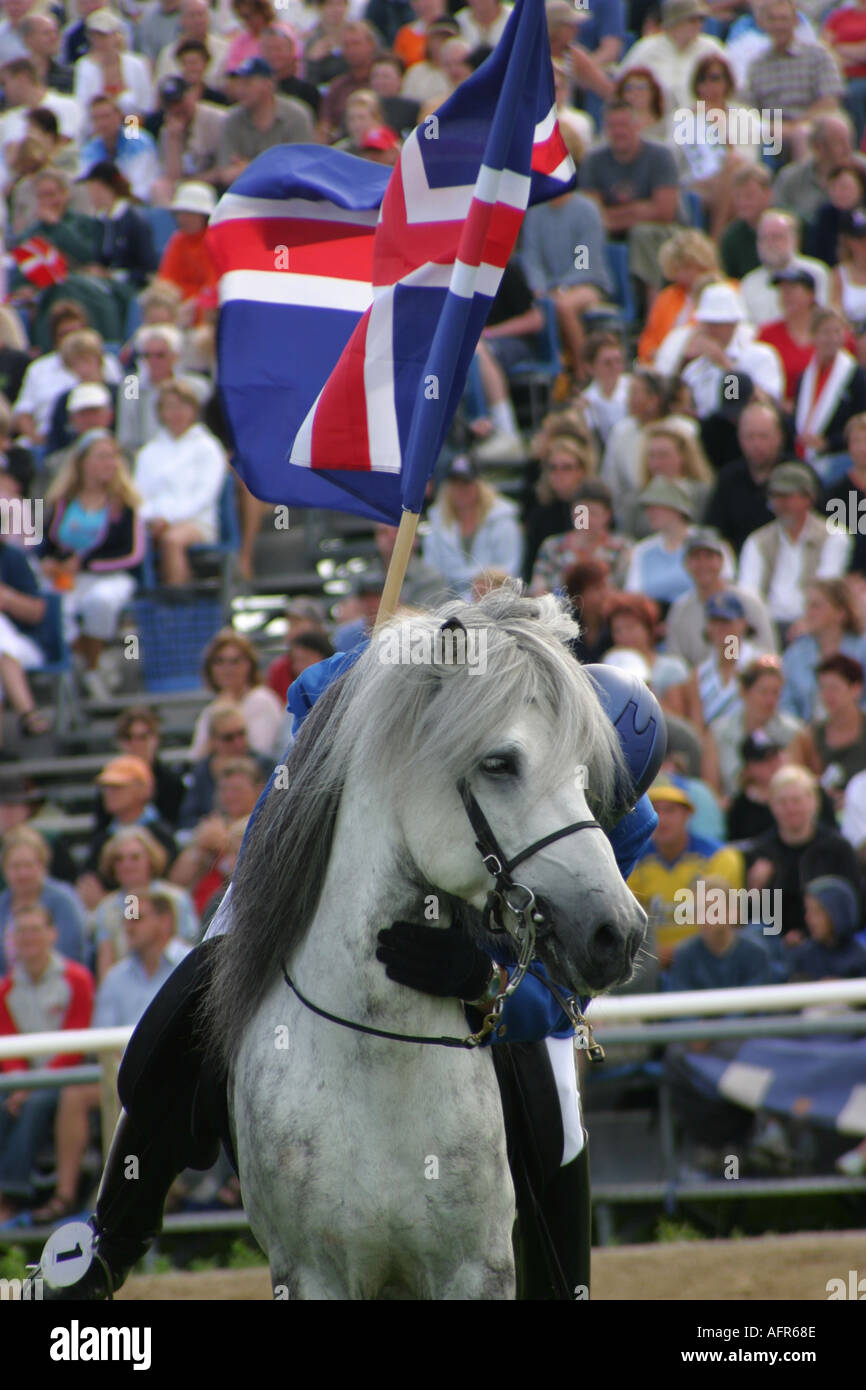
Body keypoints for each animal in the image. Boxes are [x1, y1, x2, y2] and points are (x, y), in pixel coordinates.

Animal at [203, 586, 648, 1299]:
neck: (377, 1054)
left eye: (587, 776)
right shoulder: (312, 1273)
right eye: (499, 764)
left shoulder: (475, 1269)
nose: (618, 933)